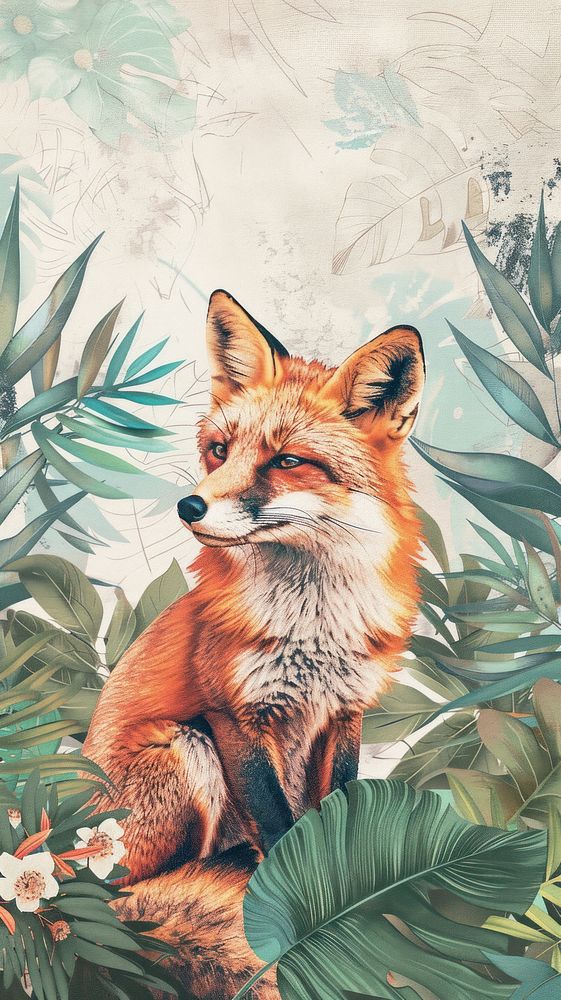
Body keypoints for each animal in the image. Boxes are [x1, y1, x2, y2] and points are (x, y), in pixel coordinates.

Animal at [83, 289, 425, 998]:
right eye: (219, 450)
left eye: (288, 461)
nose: (190, 507)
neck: (313, 626)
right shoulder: (234, 716)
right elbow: (279, 827)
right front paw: (300, 924)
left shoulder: (343, 714)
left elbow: (332, 817)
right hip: (186, 752)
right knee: (144, 887)